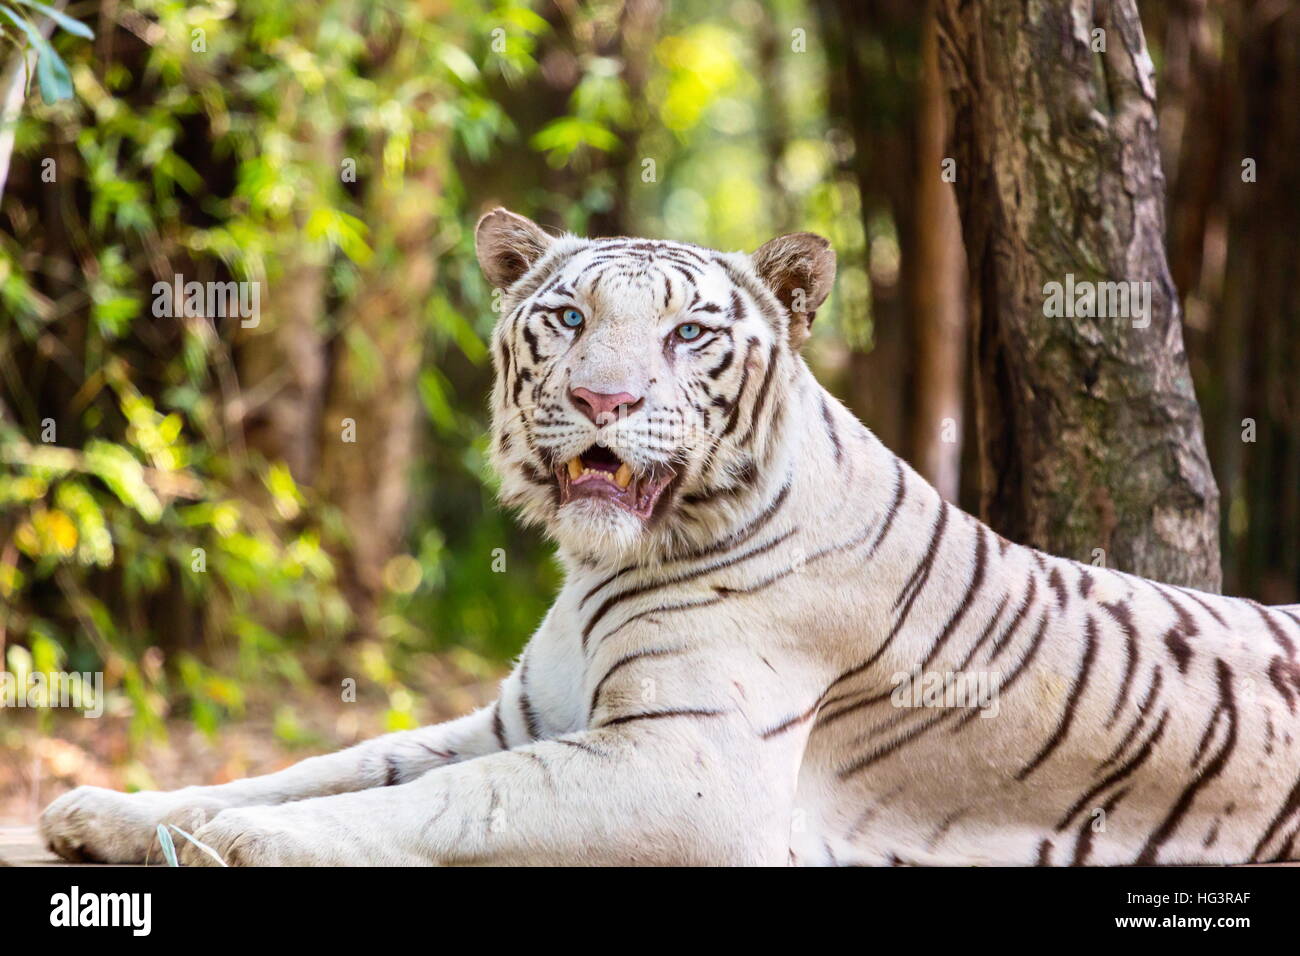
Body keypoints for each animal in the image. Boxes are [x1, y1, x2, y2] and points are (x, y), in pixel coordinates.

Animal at [39, 208, 1300, 866]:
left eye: (690, 333)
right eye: (564, 315)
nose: (601, 397)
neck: (598, 562)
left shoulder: (687, 764)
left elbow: (452, 800)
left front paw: (253, 835)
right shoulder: (520, 714)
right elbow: (338, 761)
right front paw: (112, 812)